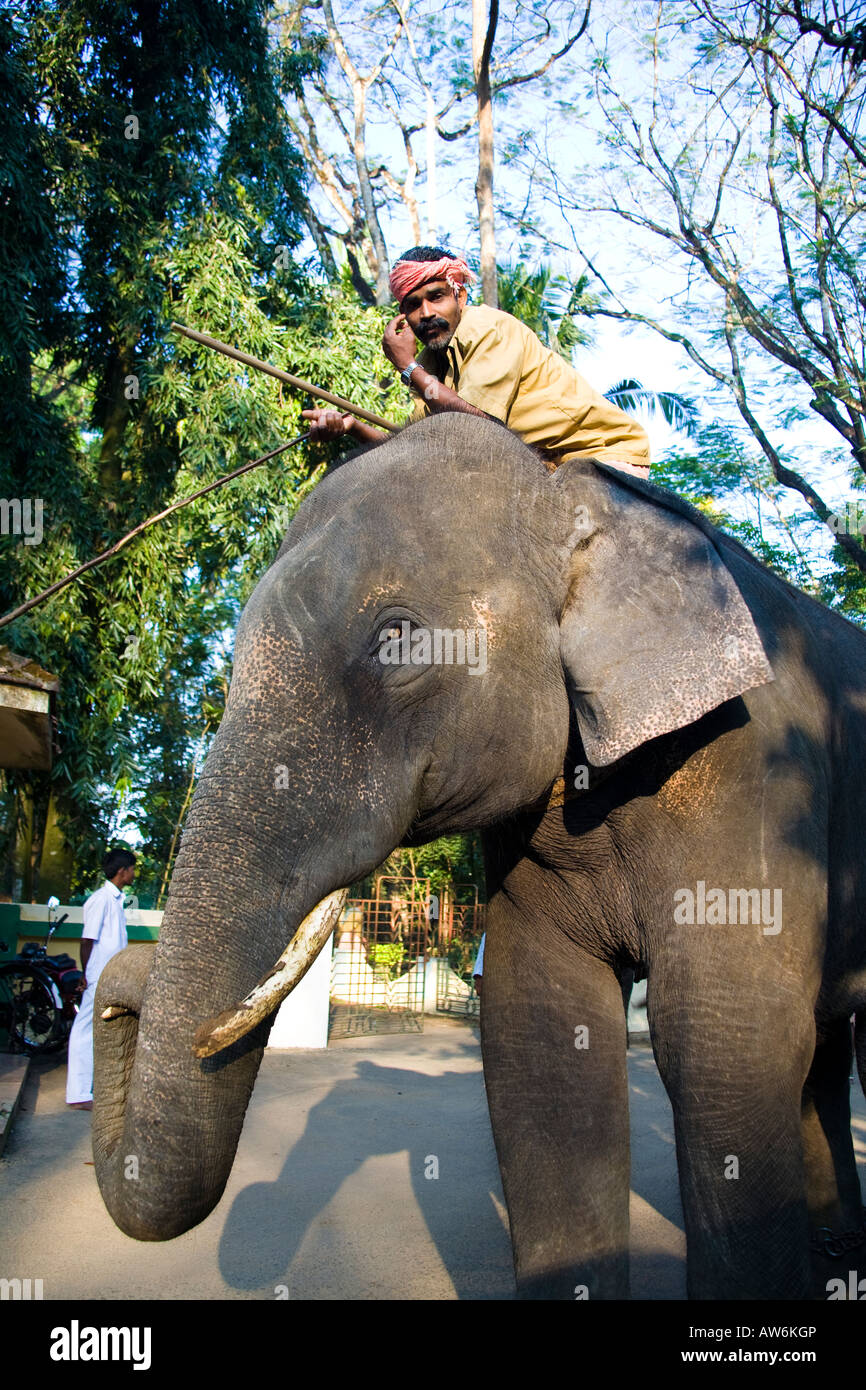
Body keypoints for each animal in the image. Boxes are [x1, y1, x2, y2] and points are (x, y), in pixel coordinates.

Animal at [93, 411, 866, 1300]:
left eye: (397, 639)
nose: (122, 990)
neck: (564, 491)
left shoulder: (752, 775)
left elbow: (727, 1041)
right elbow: (539, 1027)